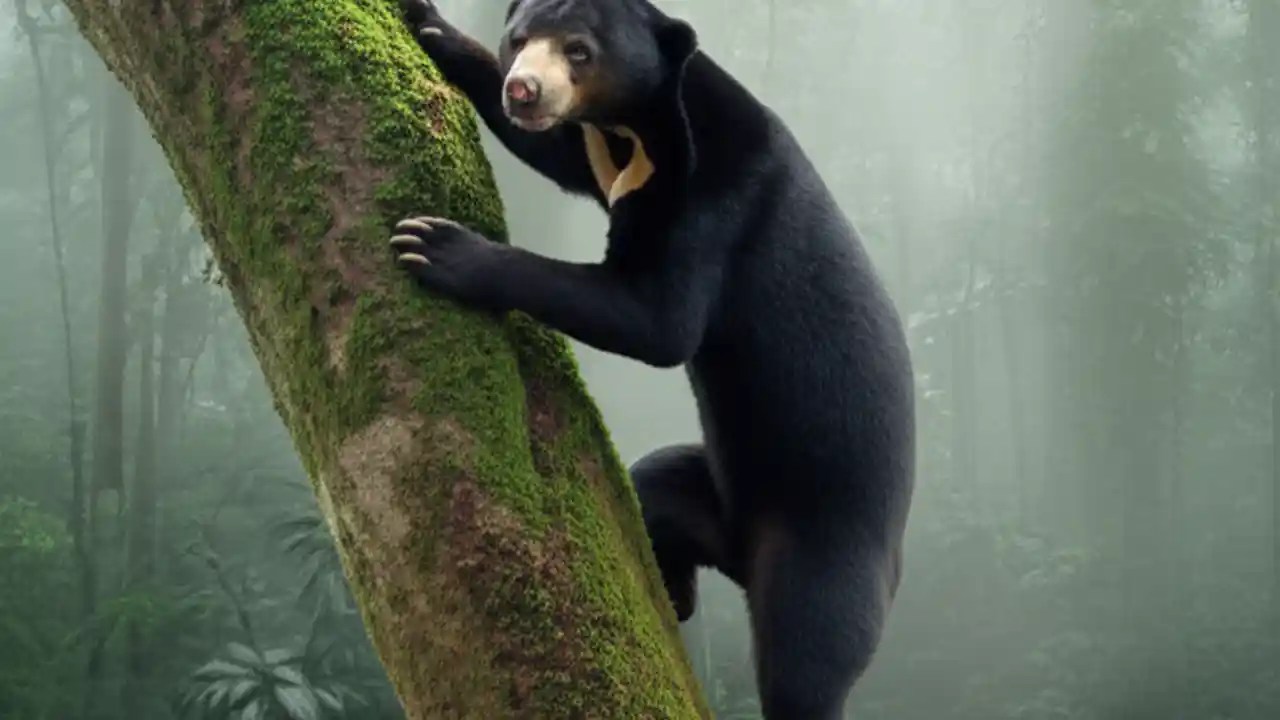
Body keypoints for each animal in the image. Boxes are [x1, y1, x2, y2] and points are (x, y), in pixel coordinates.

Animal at [389, 0, 916, 717]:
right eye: (518, 40)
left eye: (579, 51)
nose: (522, 90)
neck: (636, 127)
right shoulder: (606, 159)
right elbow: (558, 156)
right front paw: (433, 28)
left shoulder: (714, 193)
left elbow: (654, 320)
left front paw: (436, 246)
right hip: (707, 487)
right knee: (656, 485)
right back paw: (675, 592)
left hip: (827, 550)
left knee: (807, 663)